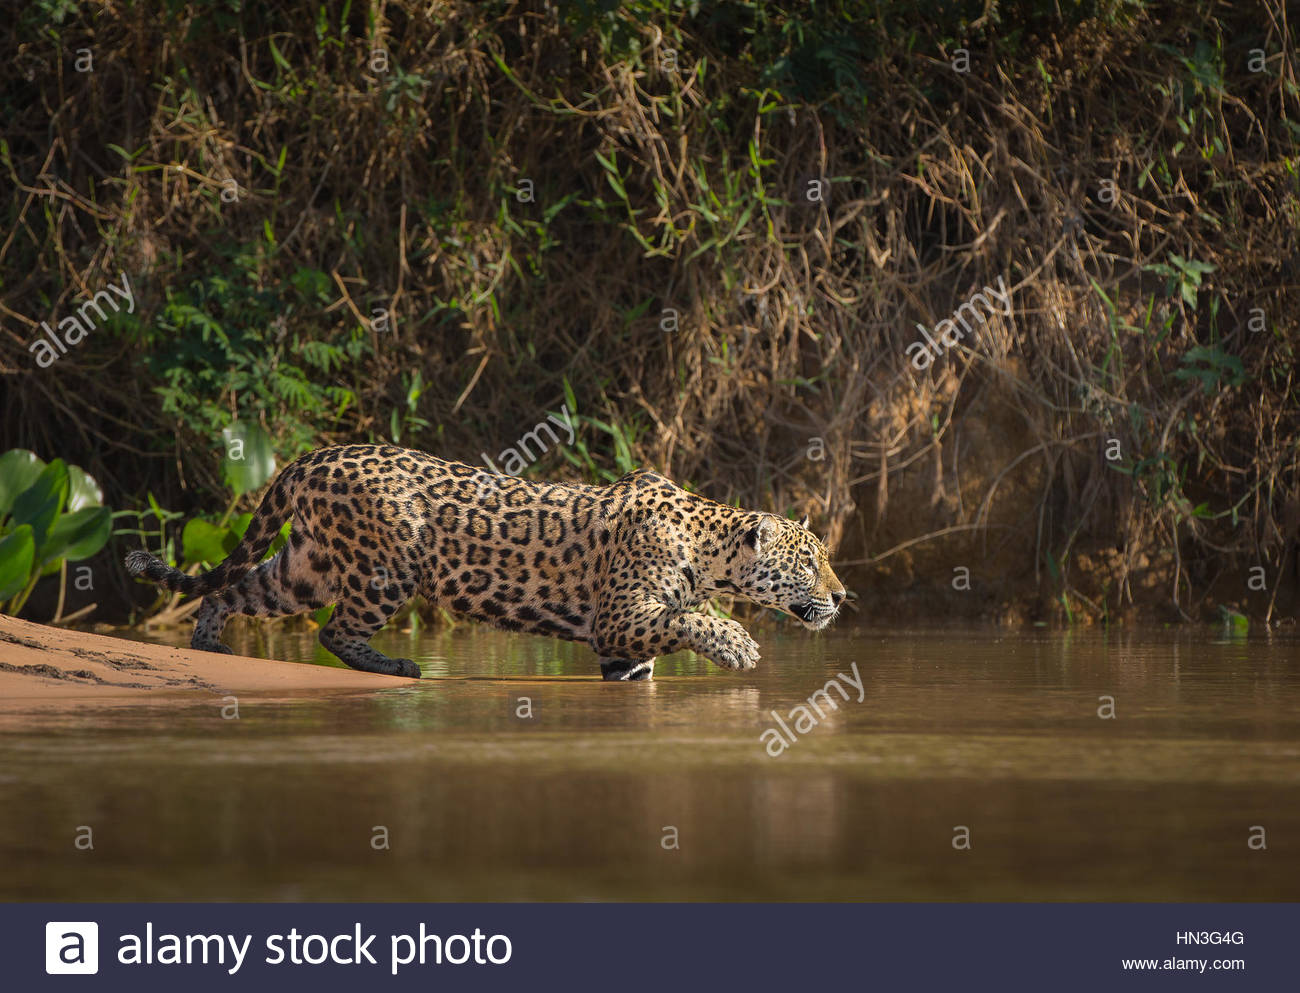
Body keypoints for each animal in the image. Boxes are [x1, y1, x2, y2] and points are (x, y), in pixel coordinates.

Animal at [125, 444, 847, 681]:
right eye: (811, 563)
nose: (841, 596)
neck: (708, 545)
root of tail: (314, 455)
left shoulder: (625, 642)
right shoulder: (621, 616)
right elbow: (691, 619)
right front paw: (739, 646)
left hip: (306, 568)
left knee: (235, 589)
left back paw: (207, 644)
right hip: (388, 566)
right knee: (335, 631)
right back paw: (398, 666)